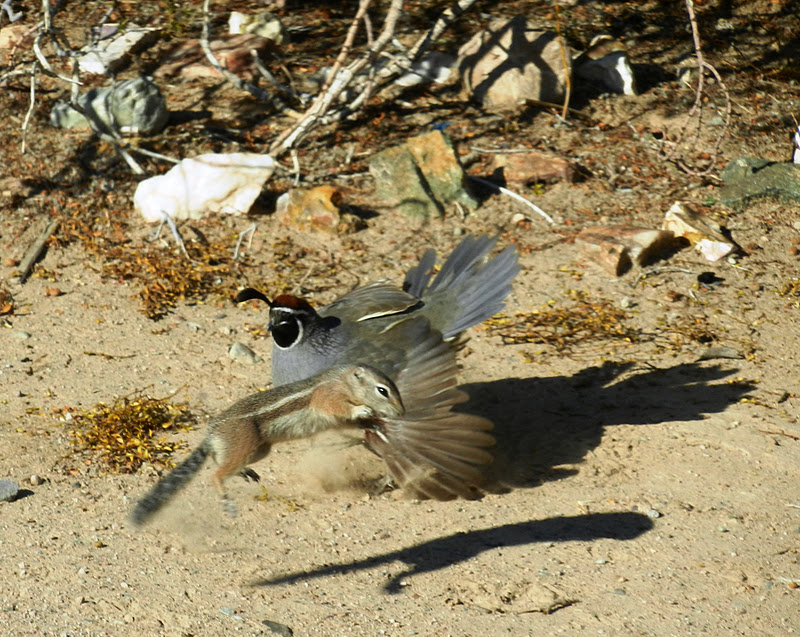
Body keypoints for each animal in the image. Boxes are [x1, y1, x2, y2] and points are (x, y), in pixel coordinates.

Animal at [130, 364, 403, 526]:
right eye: (383, 390)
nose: (401, 412)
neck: (343, 381)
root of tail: (211, 434)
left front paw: (373, 423)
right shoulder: (328, 397)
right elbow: (339, 407)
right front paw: (365, 410)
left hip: (258, 450)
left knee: (221, 461)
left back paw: (245, 473)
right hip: (243, 446)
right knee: (216, 475)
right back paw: (227, 502)